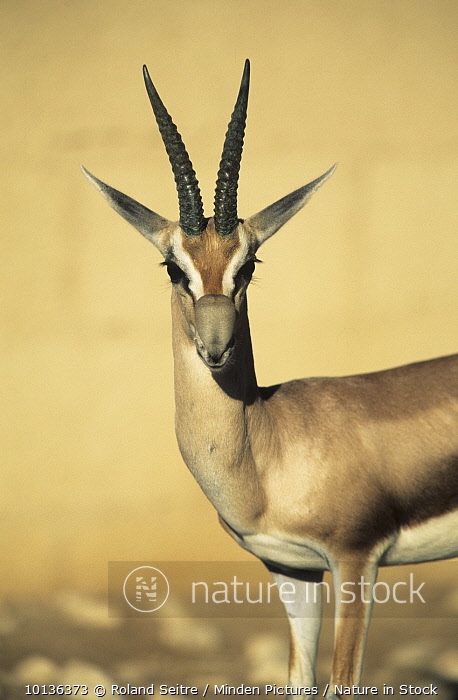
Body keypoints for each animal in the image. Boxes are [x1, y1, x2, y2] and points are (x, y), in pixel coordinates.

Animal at [82, 61, 458, 697]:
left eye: (249, 263)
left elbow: (343, 682)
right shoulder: (291, 569)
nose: (216, 347)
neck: (268, 450)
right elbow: (300, 678)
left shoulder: (356, 559)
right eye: (173, 267)